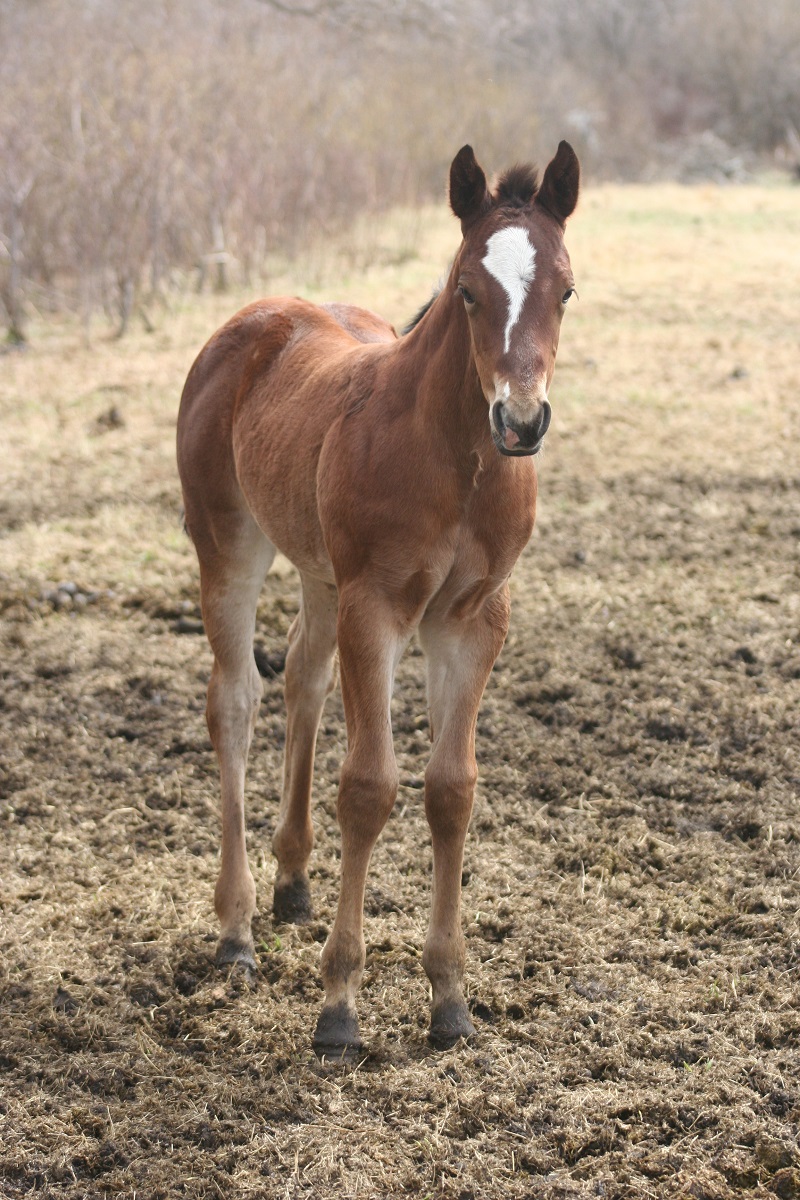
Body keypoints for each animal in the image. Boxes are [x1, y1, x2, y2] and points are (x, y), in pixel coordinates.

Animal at [176, 141, 580, 1055]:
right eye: (467, 289)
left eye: (566, 289)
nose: (521, 420)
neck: (456, 459)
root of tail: (252, 321)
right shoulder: (379, 607)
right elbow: (368, 787)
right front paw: (338, 1007)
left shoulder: (473, 619)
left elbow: (451, 789)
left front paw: (451, 1001)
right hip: (229, 545)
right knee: (236, 701)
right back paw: (237, 929)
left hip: (321, 570)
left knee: (303, 678)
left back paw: (293, 881)